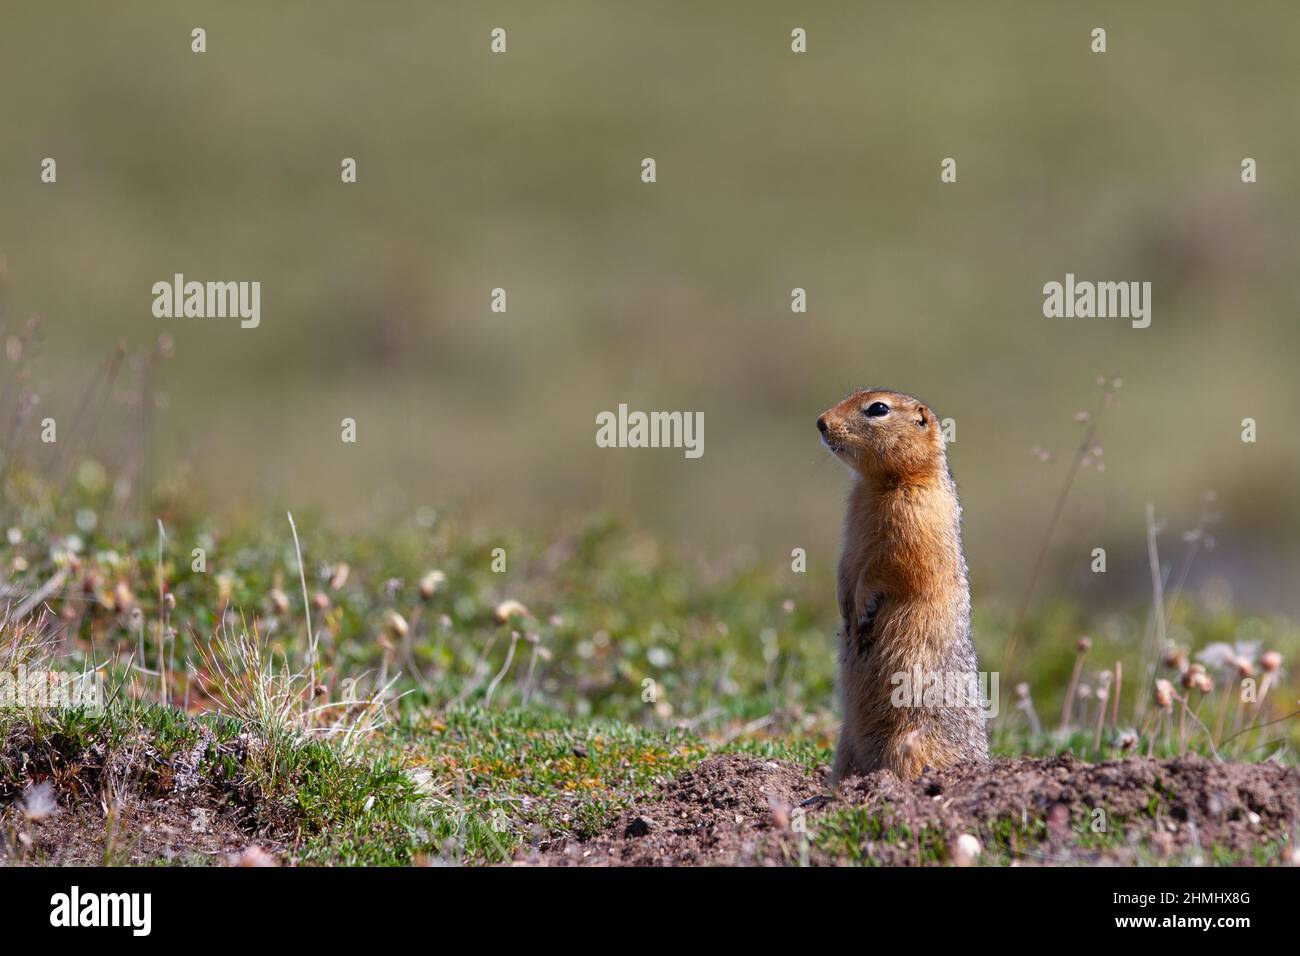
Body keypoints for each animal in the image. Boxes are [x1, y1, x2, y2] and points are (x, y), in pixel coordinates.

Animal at [817, 388, 989, 782]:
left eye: (878, 408)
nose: (820, 422)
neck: (881, 482)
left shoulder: (914, 514)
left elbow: (893, 564)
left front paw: (862, 608)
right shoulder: (852, 527)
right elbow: (846, 565)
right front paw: (846, 610)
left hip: (908, 741)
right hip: (845, 744)